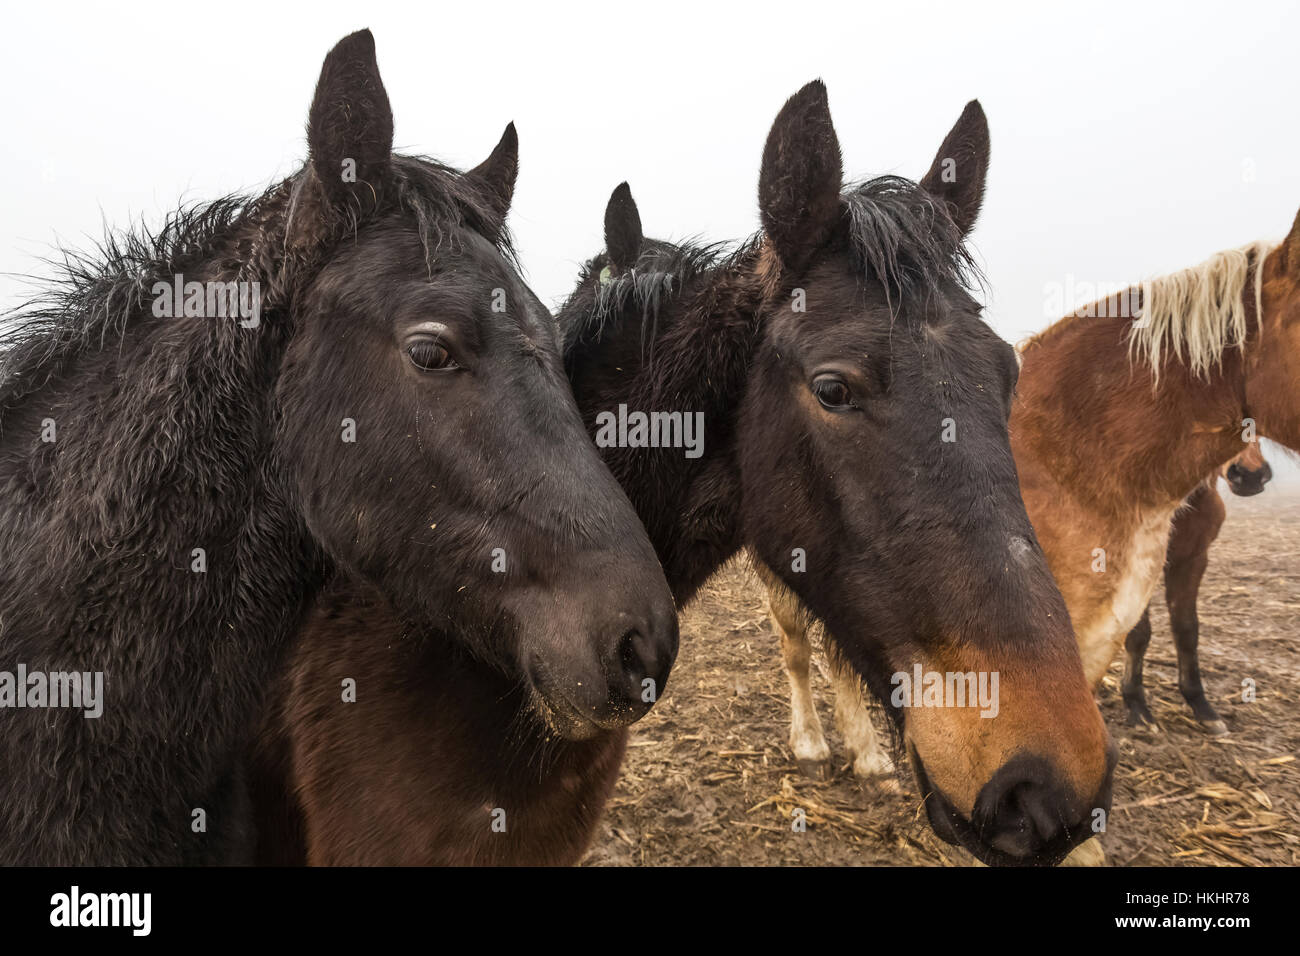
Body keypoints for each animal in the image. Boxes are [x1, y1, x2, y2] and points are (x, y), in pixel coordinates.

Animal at [1122, 443, 1273, 733]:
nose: (1250, 475)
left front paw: (1200, 705)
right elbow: (1138, 634)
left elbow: (1187, 630)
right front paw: (1136, 704)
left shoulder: (1193, 559)